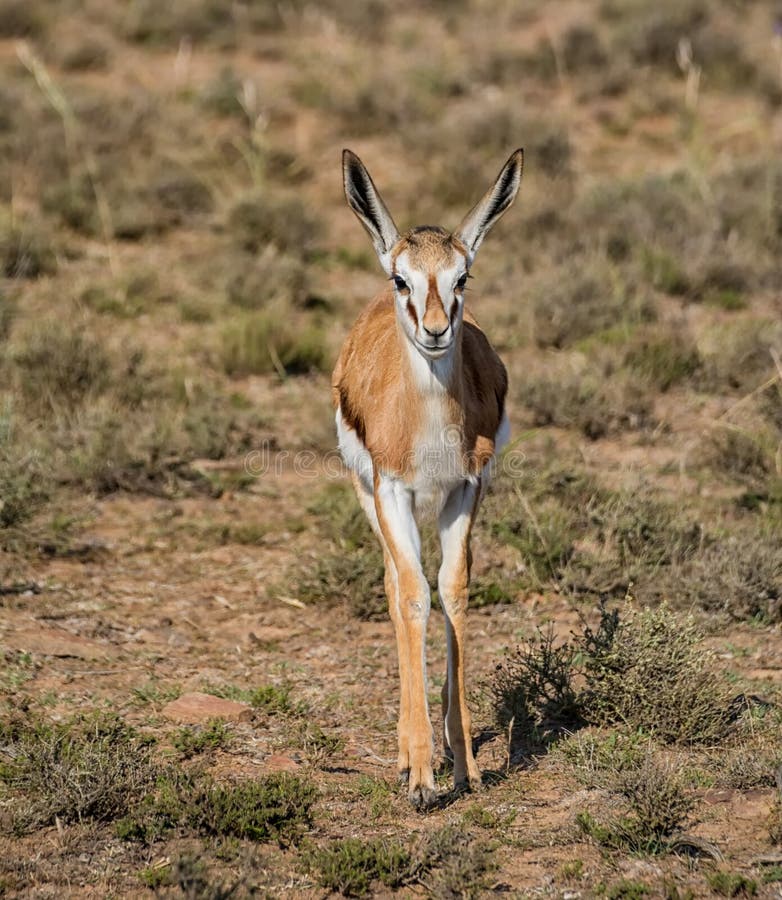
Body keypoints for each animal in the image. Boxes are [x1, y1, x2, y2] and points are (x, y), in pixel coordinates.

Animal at [332, 148, 523, 807]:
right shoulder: (391, 489)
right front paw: (421, 775)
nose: (436, 330)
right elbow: (414, 594)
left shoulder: (466, 489)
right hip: (369, 499)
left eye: (462, 277)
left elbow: (454, 591)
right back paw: (404, 755)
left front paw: (463, 763)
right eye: (403, 279)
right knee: (396, 586)